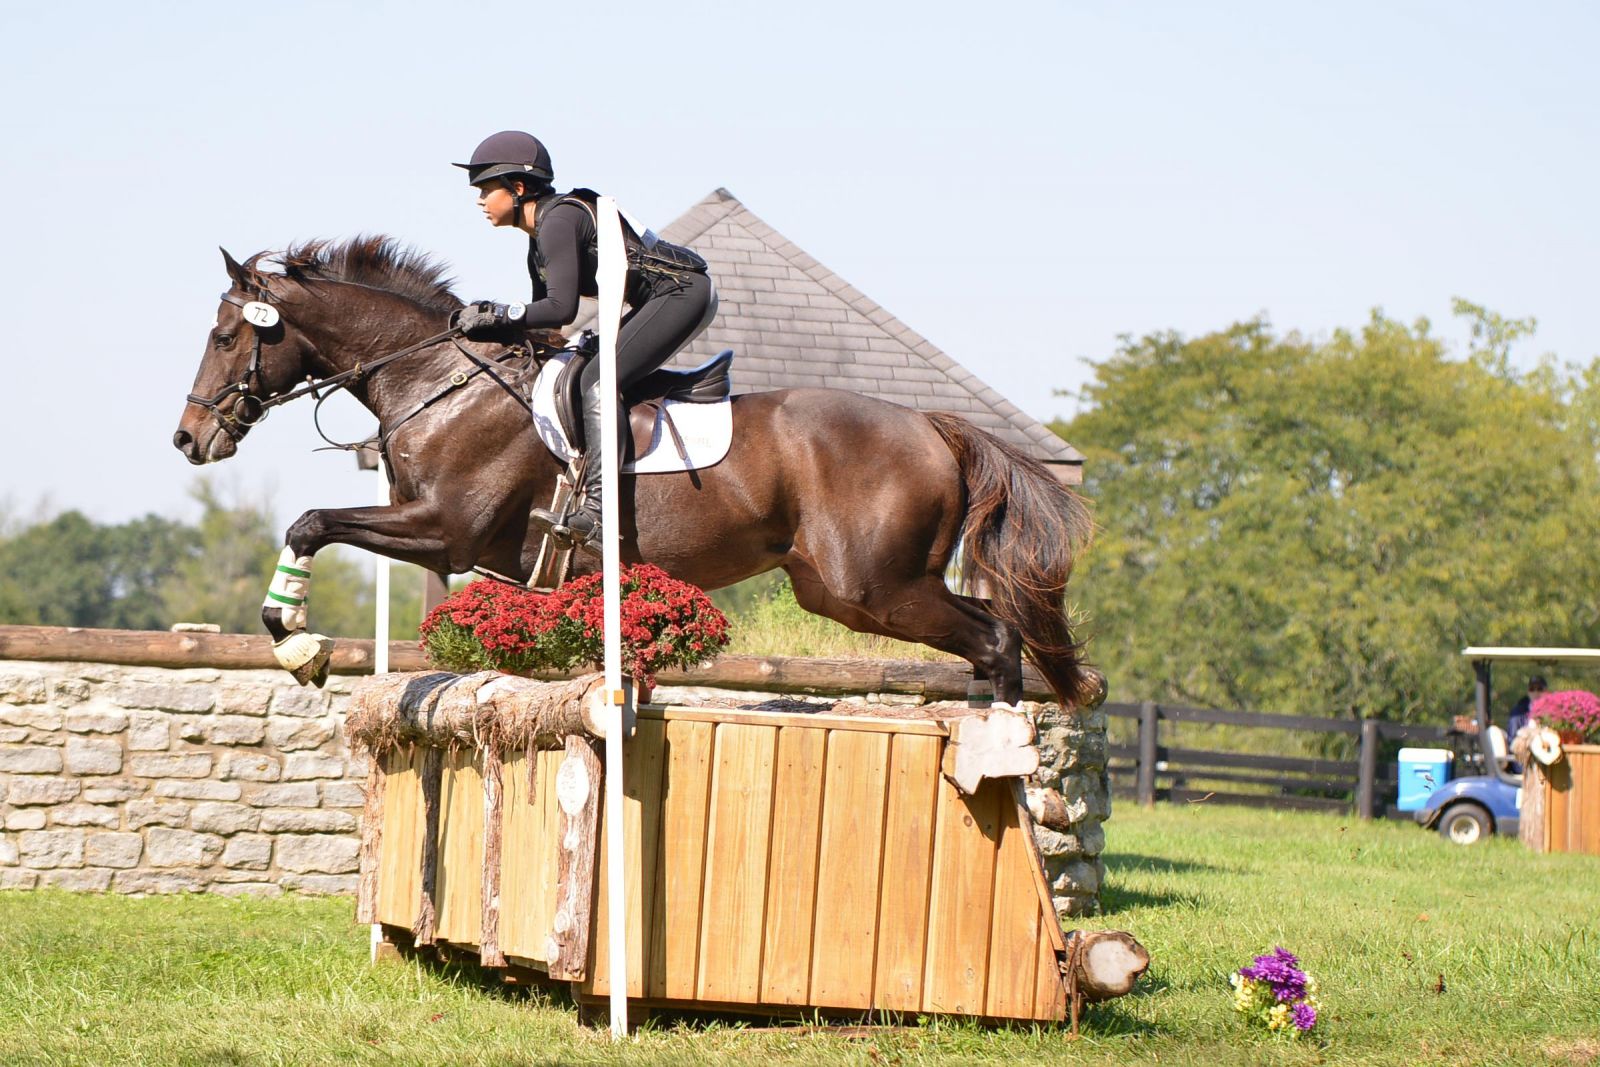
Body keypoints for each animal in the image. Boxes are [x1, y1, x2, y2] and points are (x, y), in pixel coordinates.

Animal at [173, 236, 1096, 706]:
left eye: (226, 335)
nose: (189, 440)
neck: (436, 379)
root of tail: (931, 425)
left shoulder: (446, 530)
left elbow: (309, 522)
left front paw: (300, 644)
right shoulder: (445, 542)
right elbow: (314, 525)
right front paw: (297, 639)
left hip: (872, 584)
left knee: (996, 637)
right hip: (843, 589)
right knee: (992, 637)